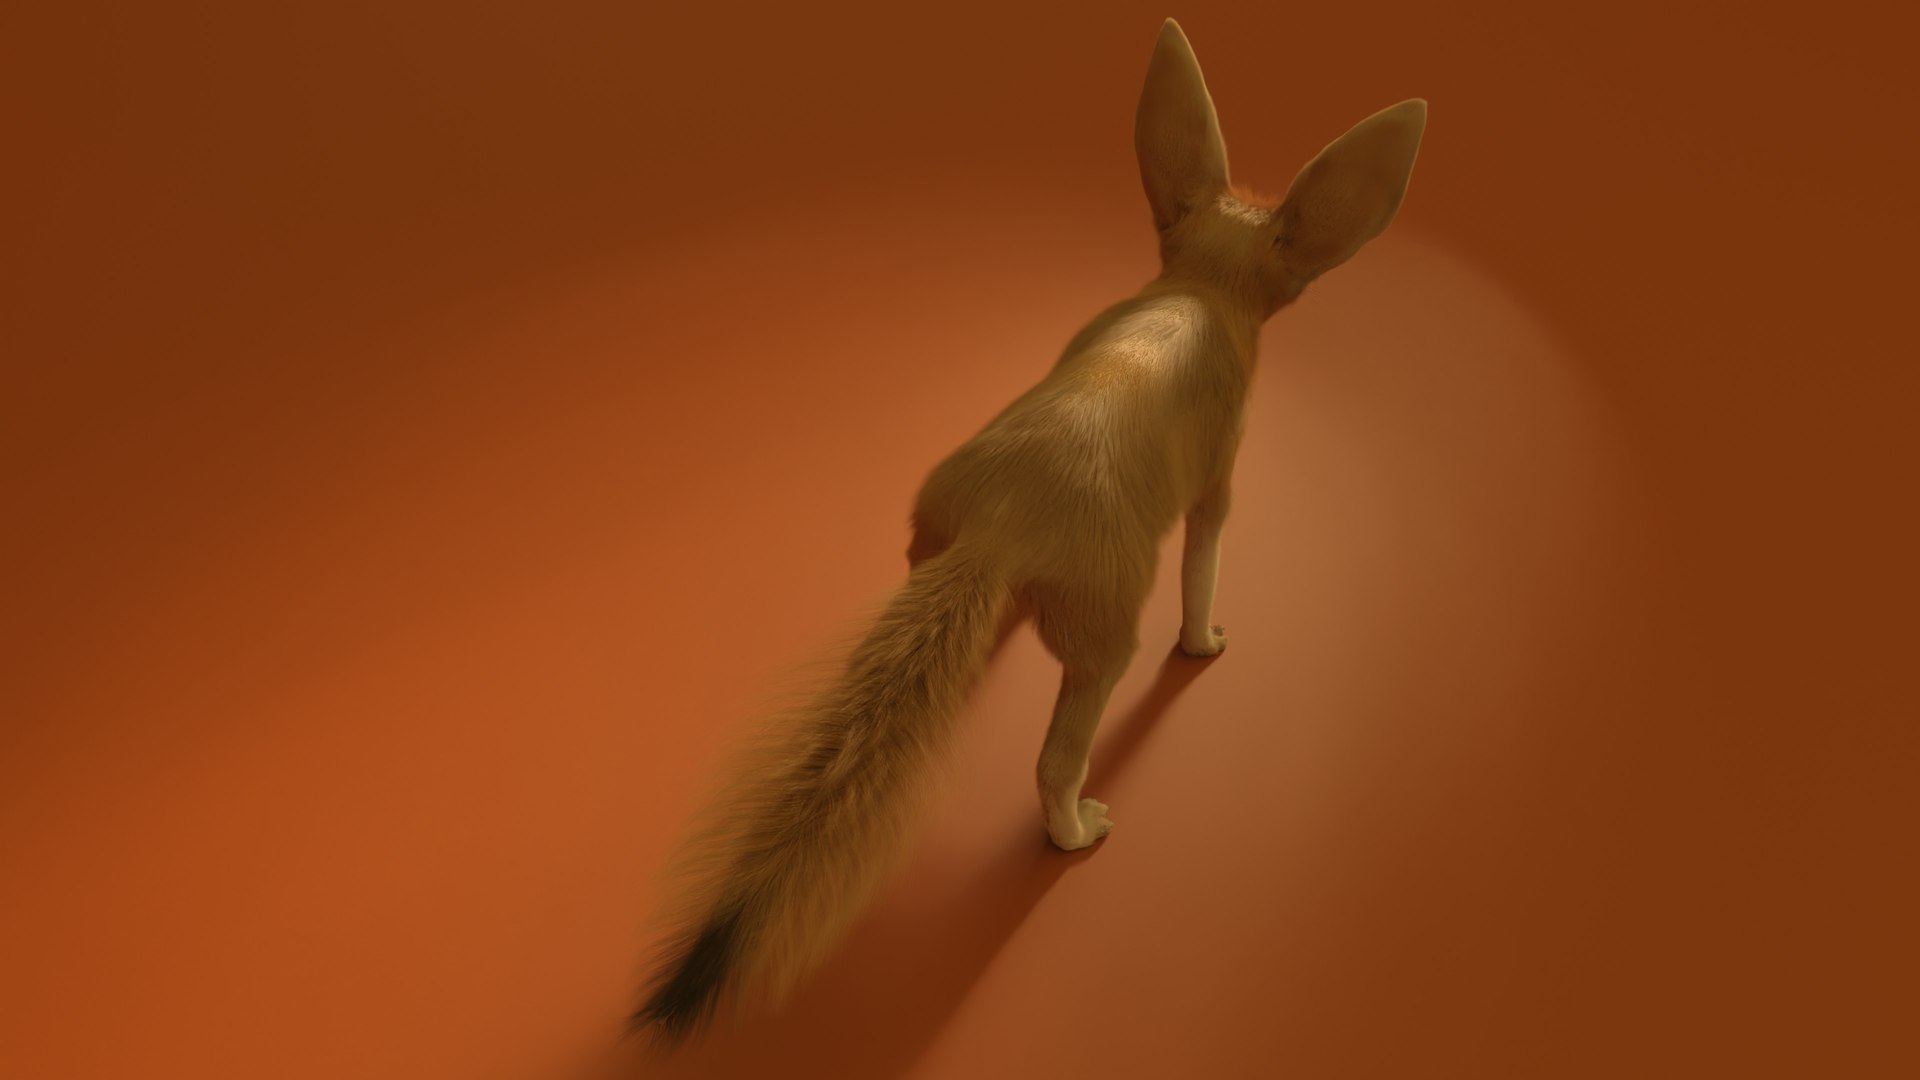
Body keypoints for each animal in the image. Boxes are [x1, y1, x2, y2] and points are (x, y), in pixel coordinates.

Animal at [631, 17, 1426, 1045]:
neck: (1199, 290)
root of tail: (1001, 530)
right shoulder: (1219, 475)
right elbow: (1206, 559)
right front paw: (1207, 642)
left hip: (928, 535)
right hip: (1105, 632)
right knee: (1054, 759)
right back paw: (1080, 829)